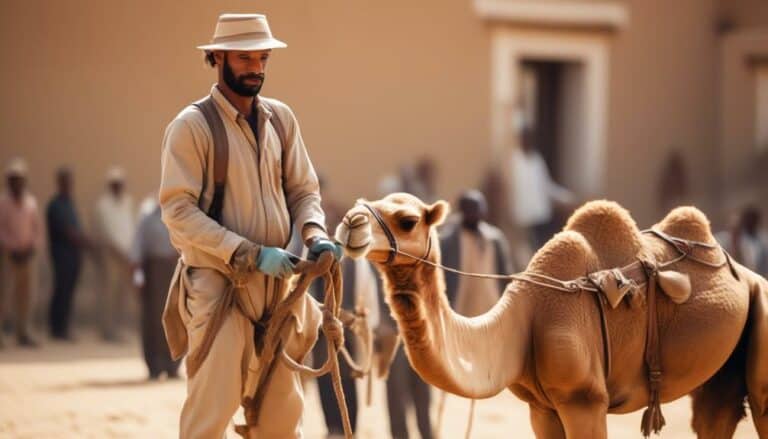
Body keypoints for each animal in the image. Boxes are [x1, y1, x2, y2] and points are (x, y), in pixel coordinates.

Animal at [334, 193, 768, 438]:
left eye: (407, 221)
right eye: (360, 207)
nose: (349, 222)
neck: (525, 316)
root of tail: (748, 273)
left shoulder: (585, 398)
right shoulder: (541, 408)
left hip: (763, 311)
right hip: (720, 369)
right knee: (716, 414)